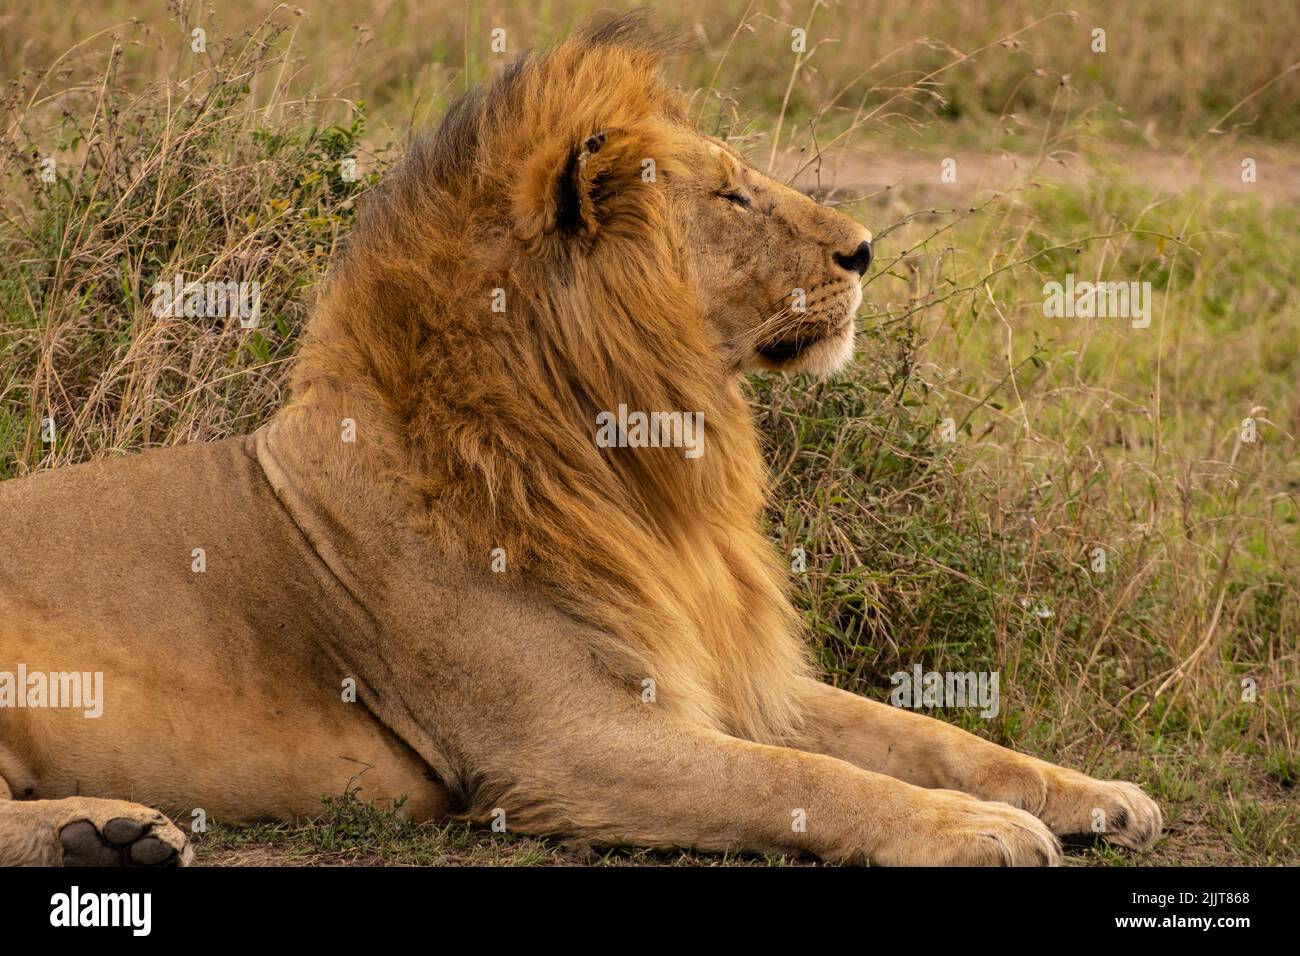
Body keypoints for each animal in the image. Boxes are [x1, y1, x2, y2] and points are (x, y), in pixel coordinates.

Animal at [0, 14, 1160, 866]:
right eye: (732, 193)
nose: (865, 249)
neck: (637, 466)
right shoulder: (566, 746)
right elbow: (805, 778)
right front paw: (972, 830)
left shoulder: (729, 679)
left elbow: (926, 734)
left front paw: (1096, 793)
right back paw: (107, 832)